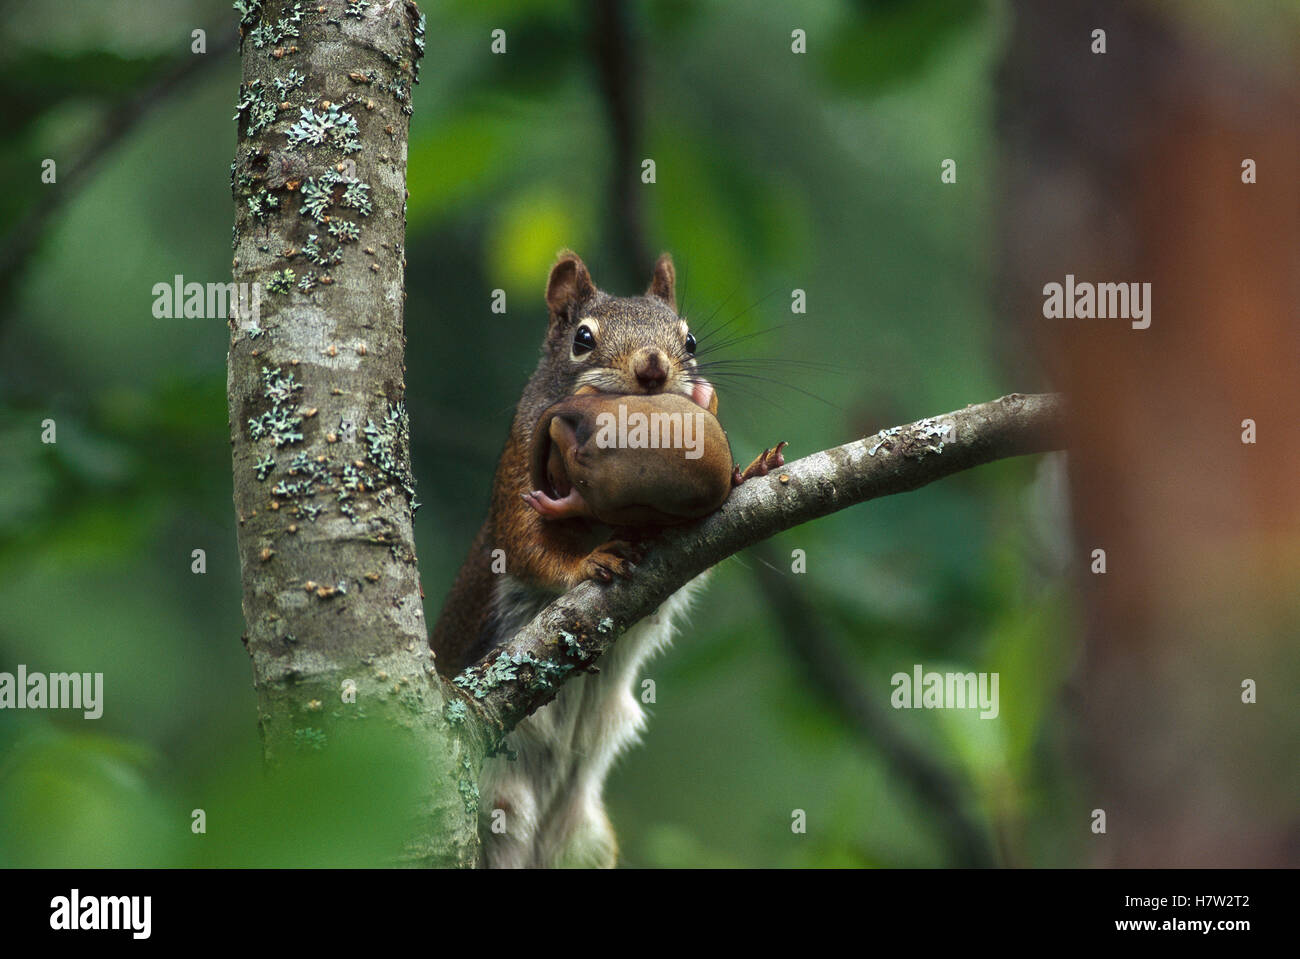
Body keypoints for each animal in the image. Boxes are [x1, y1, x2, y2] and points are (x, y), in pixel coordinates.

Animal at [431, 251, 785, 868]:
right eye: (583, 339)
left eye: (690, 340)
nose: (653, 369)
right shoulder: (517, 477)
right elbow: (527, 550)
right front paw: (586, 564)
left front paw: (751, 473)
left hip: (587, 846)